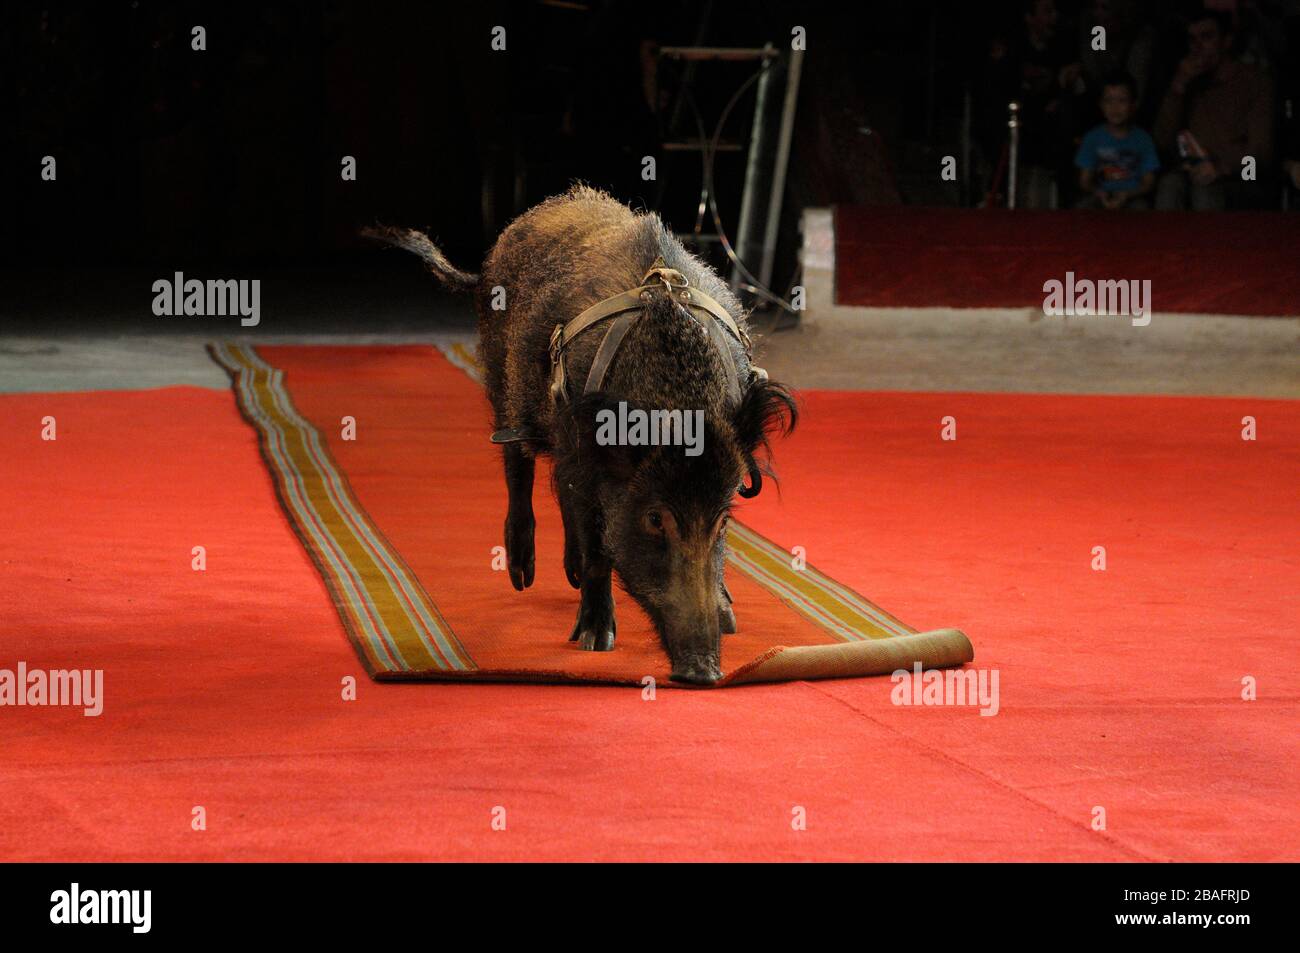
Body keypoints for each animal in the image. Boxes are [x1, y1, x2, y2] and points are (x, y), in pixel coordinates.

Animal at [365, 186, 796, 684]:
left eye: (723, 520)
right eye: (654, 518)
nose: (705, 673)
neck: (674, 402)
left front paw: (729, 620)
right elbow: (595, 549)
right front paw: (595, 642)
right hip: (503, 381)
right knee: (520, 465)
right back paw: (522, 576)